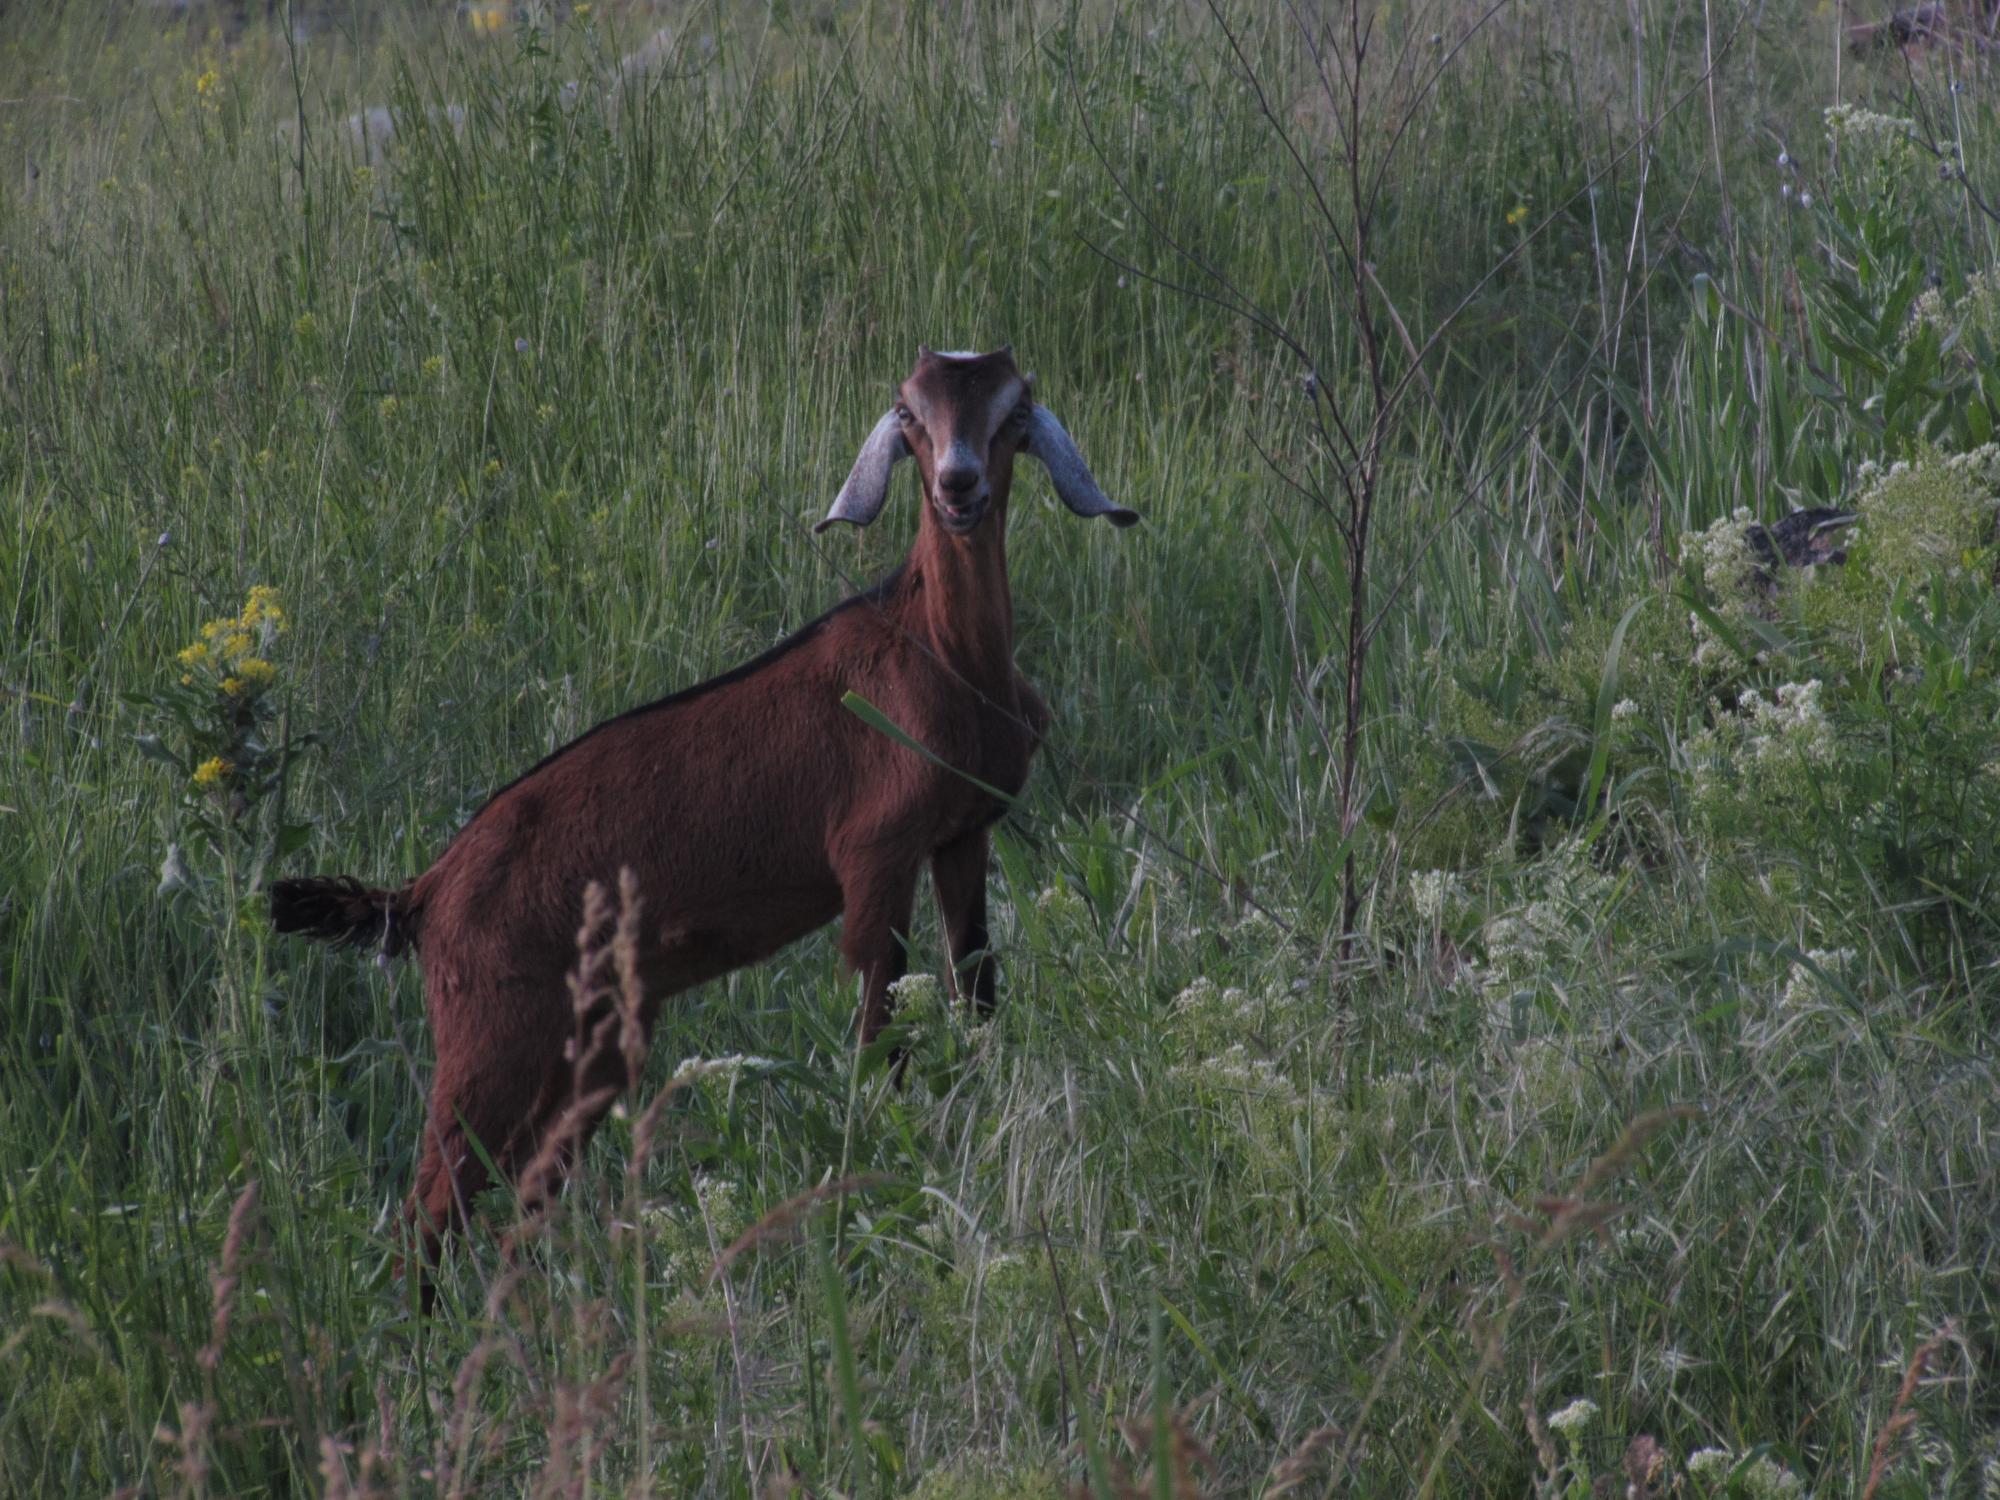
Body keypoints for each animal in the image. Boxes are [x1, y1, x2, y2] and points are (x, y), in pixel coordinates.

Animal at [272, 350, 1136, 1272]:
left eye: (1016, 411)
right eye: (910, 414)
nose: (958, 483)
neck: (940, 655)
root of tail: (423, 893)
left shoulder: (965, 831)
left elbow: (975, 990)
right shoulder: (874, 852)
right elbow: (880, 1024)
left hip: (590, 1035)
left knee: (514, 1198)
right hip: (488, 1026)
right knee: (426, 1211)